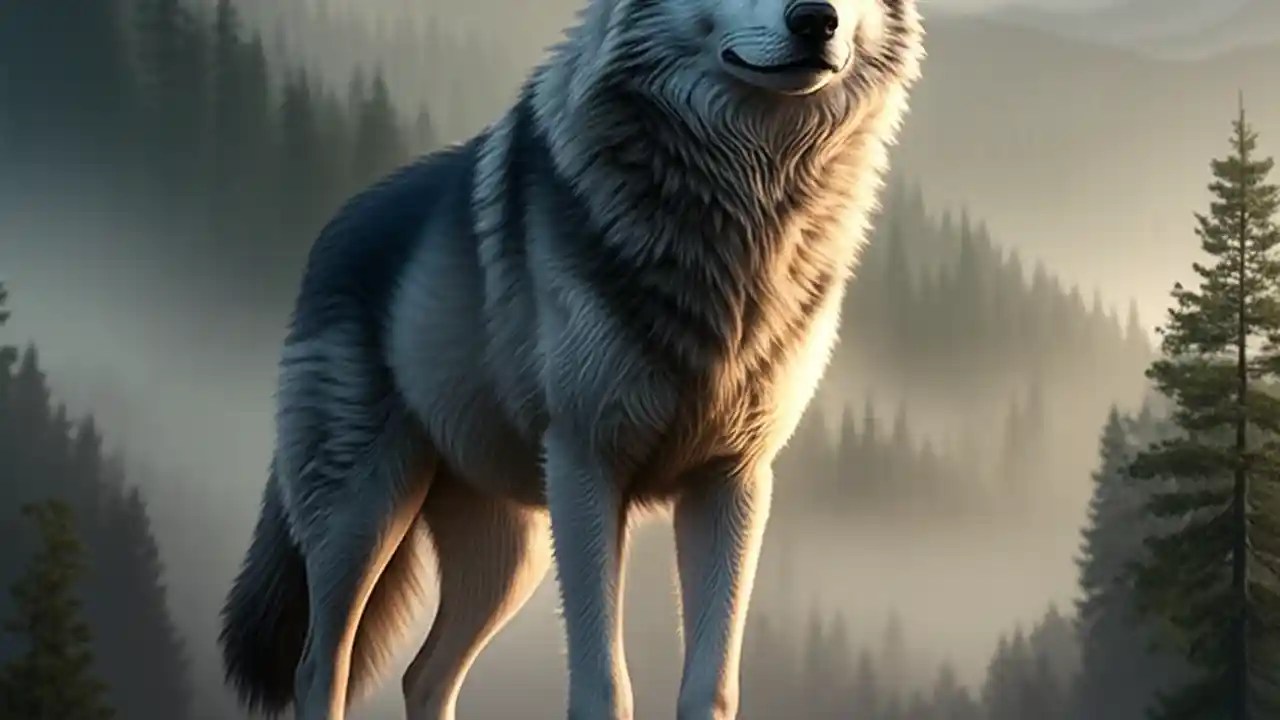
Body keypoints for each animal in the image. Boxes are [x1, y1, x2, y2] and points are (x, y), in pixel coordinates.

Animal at [219, 0, 923, 718]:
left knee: (425, 673)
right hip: (366, 513)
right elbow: (602, 685)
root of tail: (334, 226)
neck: (743, 210)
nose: (815, 20)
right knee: (320, 665)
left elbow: (711, 686)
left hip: (511, 554)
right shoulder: (588, 465)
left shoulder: (734, 478)